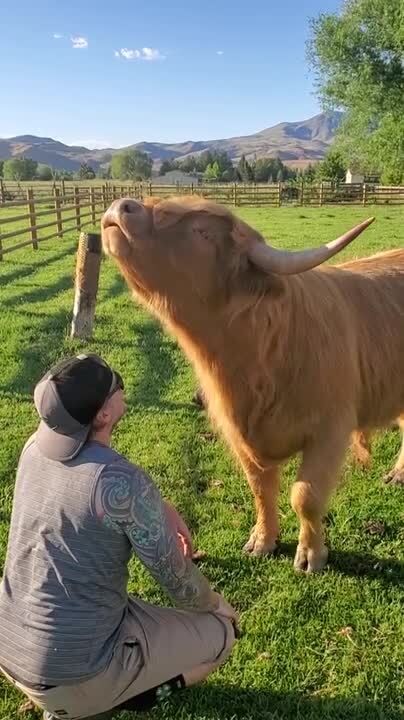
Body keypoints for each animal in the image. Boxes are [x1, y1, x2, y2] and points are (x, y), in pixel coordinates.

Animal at [101, 196, 404, 572]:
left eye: (202, 232)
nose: (120, 207)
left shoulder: (330, 431)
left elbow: (305, 496)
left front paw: (311, 555)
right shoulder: (239, 435)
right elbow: (260, 488)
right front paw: (262, 541)